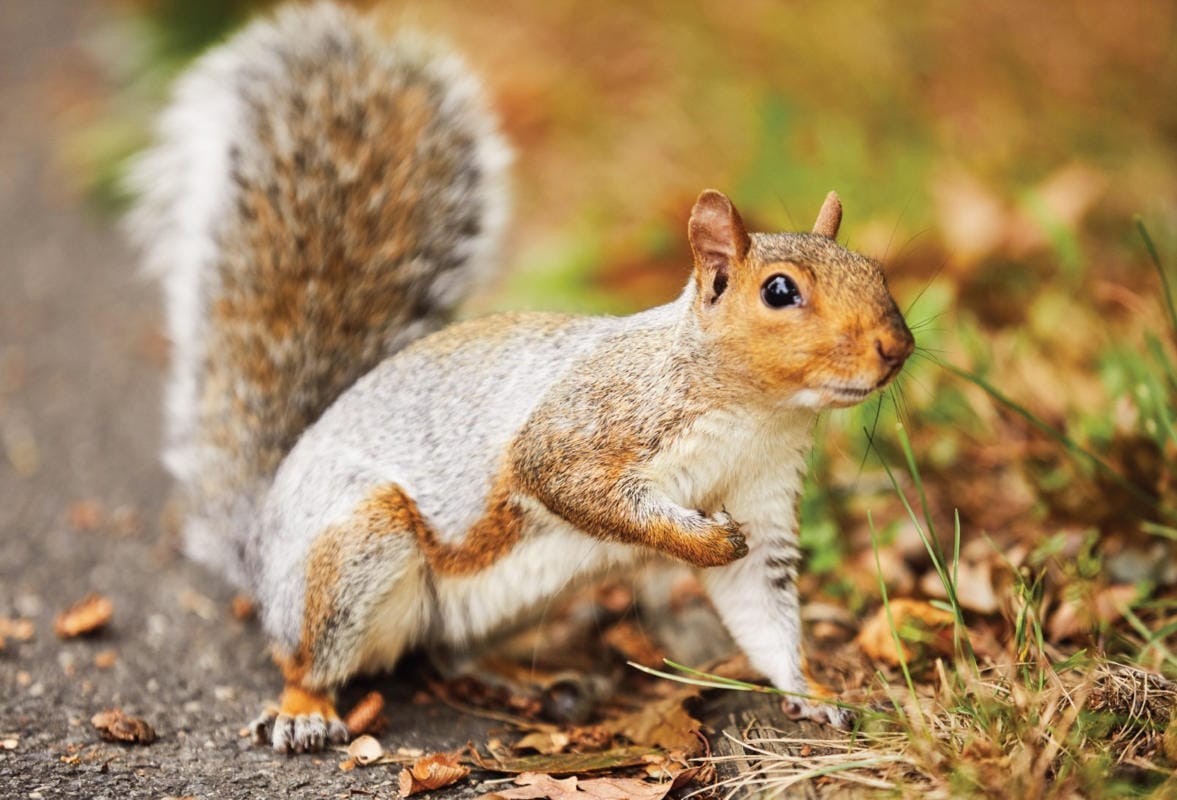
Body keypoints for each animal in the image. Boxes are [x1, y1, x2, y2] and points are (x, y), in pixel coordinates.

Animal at [128, 2, 914, 754]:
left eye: (877, 271)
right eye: (779, 292)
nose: (896, 346)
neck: (756, 415)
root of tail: (262, 547)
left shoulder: (763, 494)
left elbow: (763, 611)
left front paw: (813, 694)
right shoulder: (590, 421)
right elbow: (573, 485)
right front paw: (702, 541)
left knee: (448, 652)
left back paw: (533, 678)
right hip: (357, 548)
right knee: (307, 658)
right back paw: (304, 709)